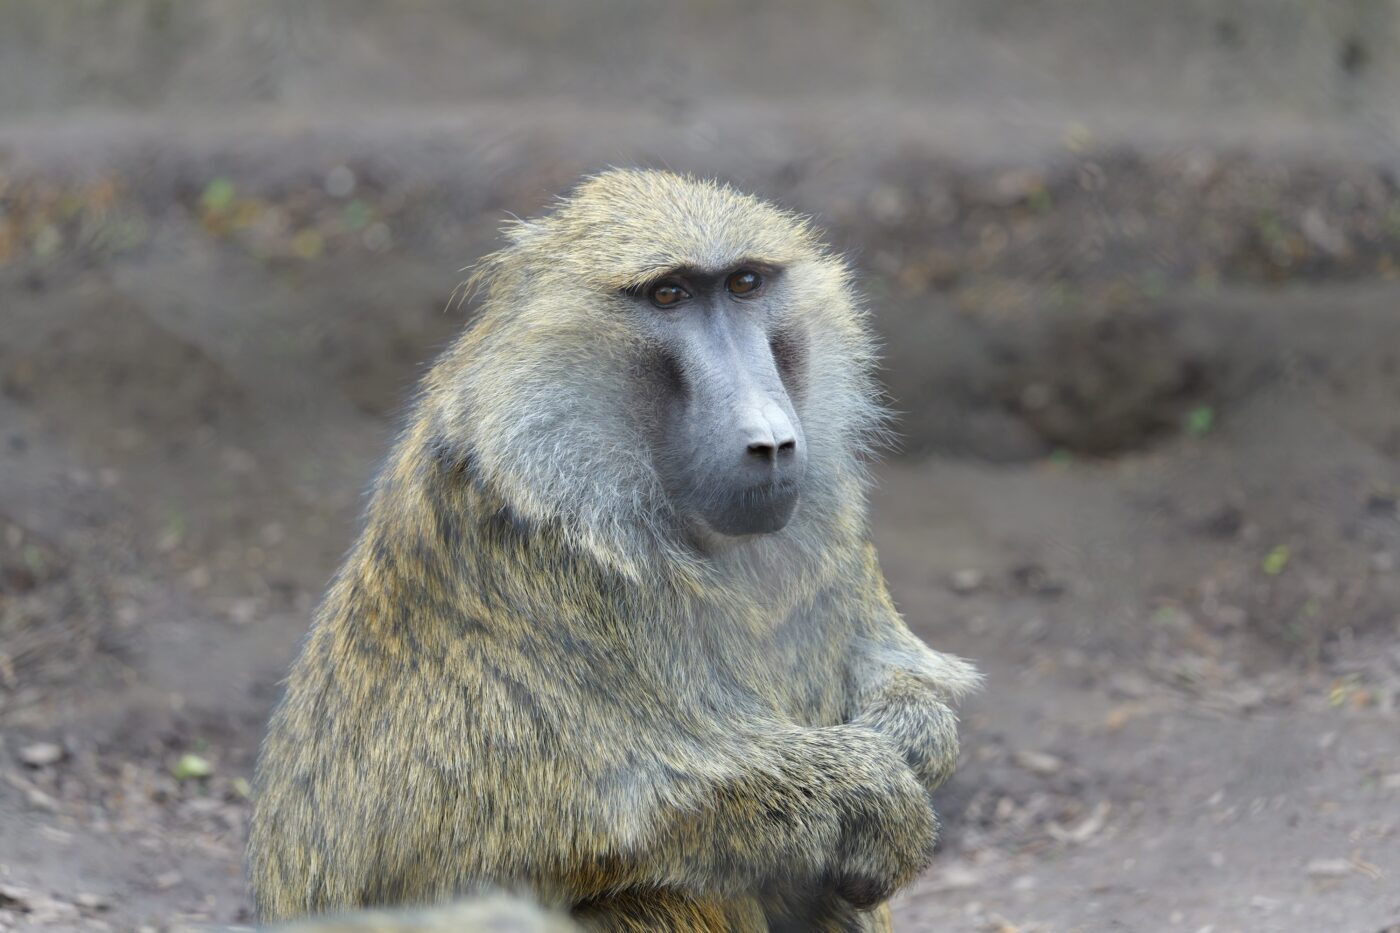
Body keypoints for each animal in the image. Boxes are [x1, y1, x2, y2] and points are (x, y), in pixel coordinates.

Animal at [248, 169, 981, 932]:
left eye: (744, 284)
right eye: (669, 296)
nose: (771, 442)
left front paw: (911, 735)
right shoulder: (560, 575)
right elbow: (602, 822)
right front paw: (873, 788)